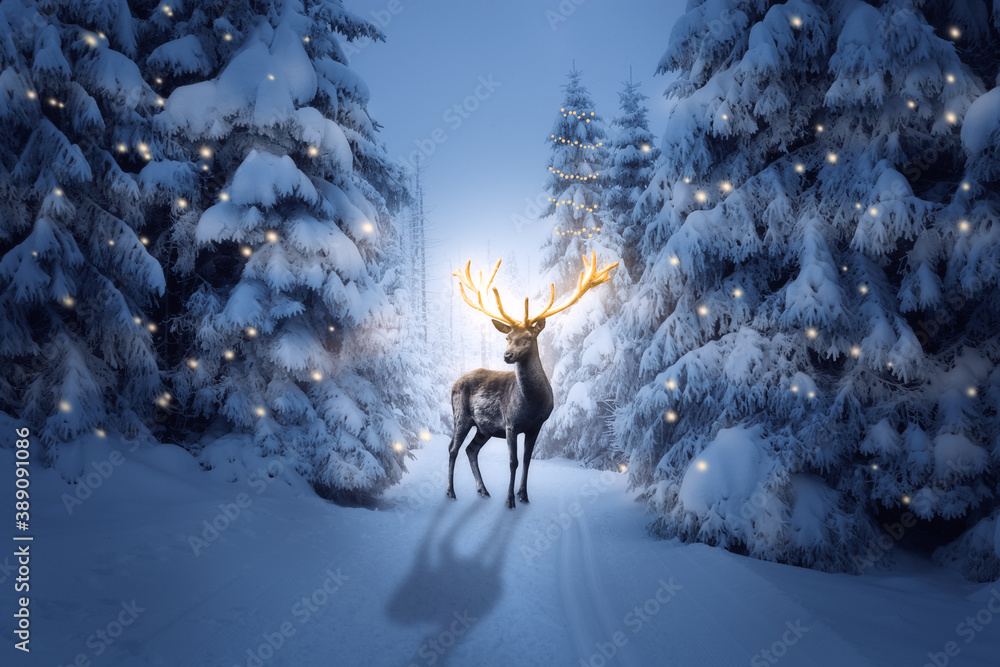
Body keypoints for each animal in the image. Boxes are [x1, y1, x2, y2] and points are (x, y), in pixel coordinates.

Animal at [446, 251, 618, 509]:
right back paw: (451, 492)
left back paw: (483, 491)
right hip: (461, 415)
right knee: (453, 449)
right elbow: (513, 462)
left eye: (527, 337)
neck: (531, 404)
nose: (507, 355)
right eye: (507, 337)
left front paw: (524, 496)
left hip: (484, 427)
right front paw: (509, 501)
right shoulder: (510, 423)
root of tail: (454, 383)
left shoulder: (536, 426)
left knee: (470, 449)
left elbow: (527, 460)